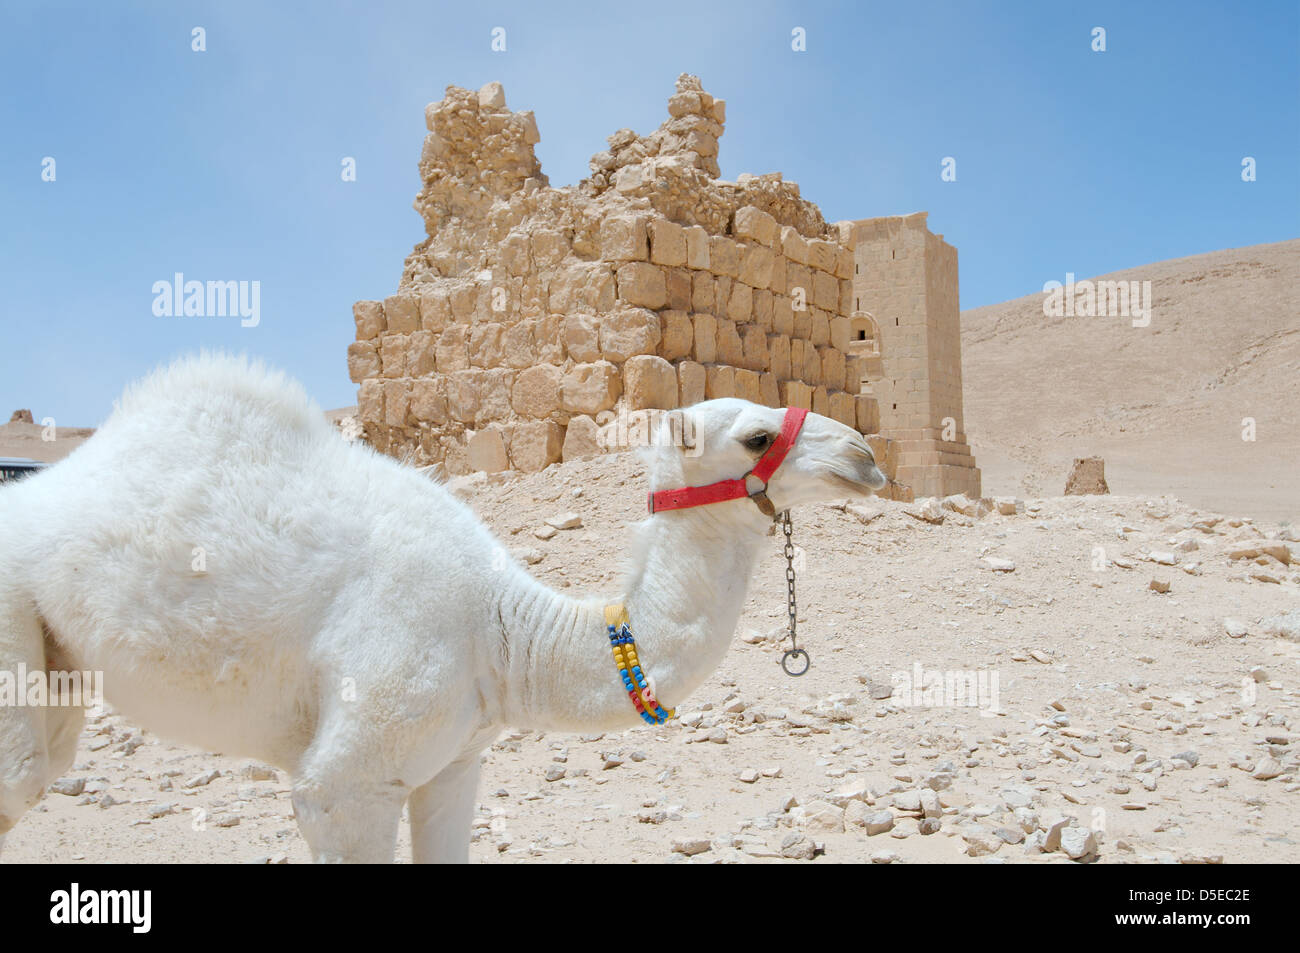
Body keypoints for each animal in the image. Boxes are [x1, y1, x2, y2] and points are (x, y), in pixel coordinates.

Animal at [0, 354, 886, 862]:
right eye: (755, 435)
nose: (867, 455)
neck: (501, 633)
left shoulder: (454, 765)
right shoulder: (345, 784)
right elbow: (334, 790)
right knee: (20, 780)